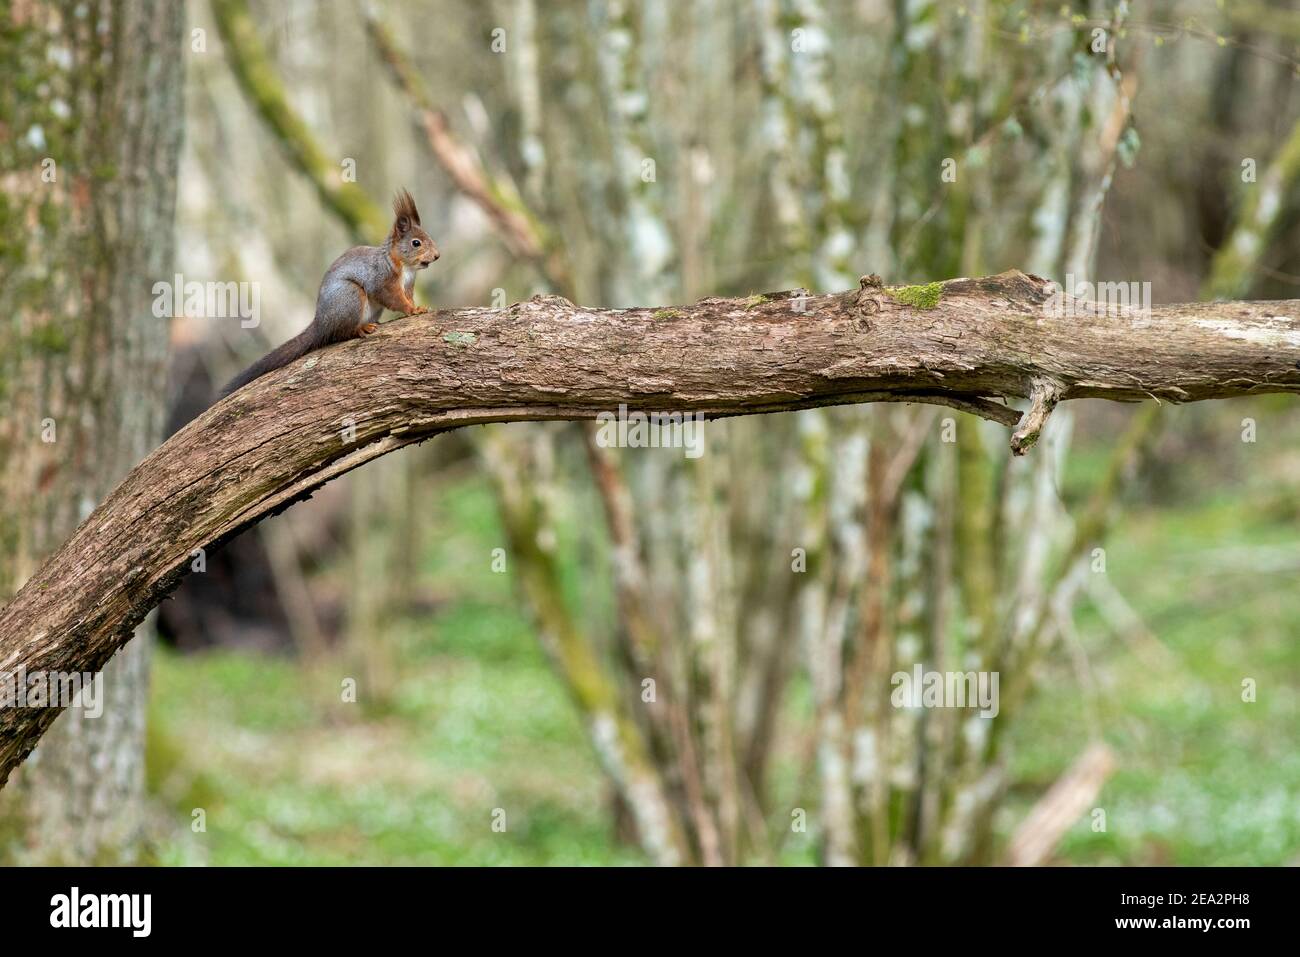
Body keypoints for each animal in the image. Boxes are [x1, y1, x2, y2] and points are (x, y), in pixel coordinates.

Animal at [219, 188, 439, 398]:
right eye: (416, 243)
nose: (437, 256)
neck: (405, 267)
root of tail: (321, 323)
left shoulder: (408, 285)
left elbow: (408, 297)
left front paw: (418, 307)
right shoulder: (382, 280)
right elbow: (393, 298)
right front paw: (411, 310)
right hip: (350, 297)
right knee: (341, 333)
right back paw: (361, 328)